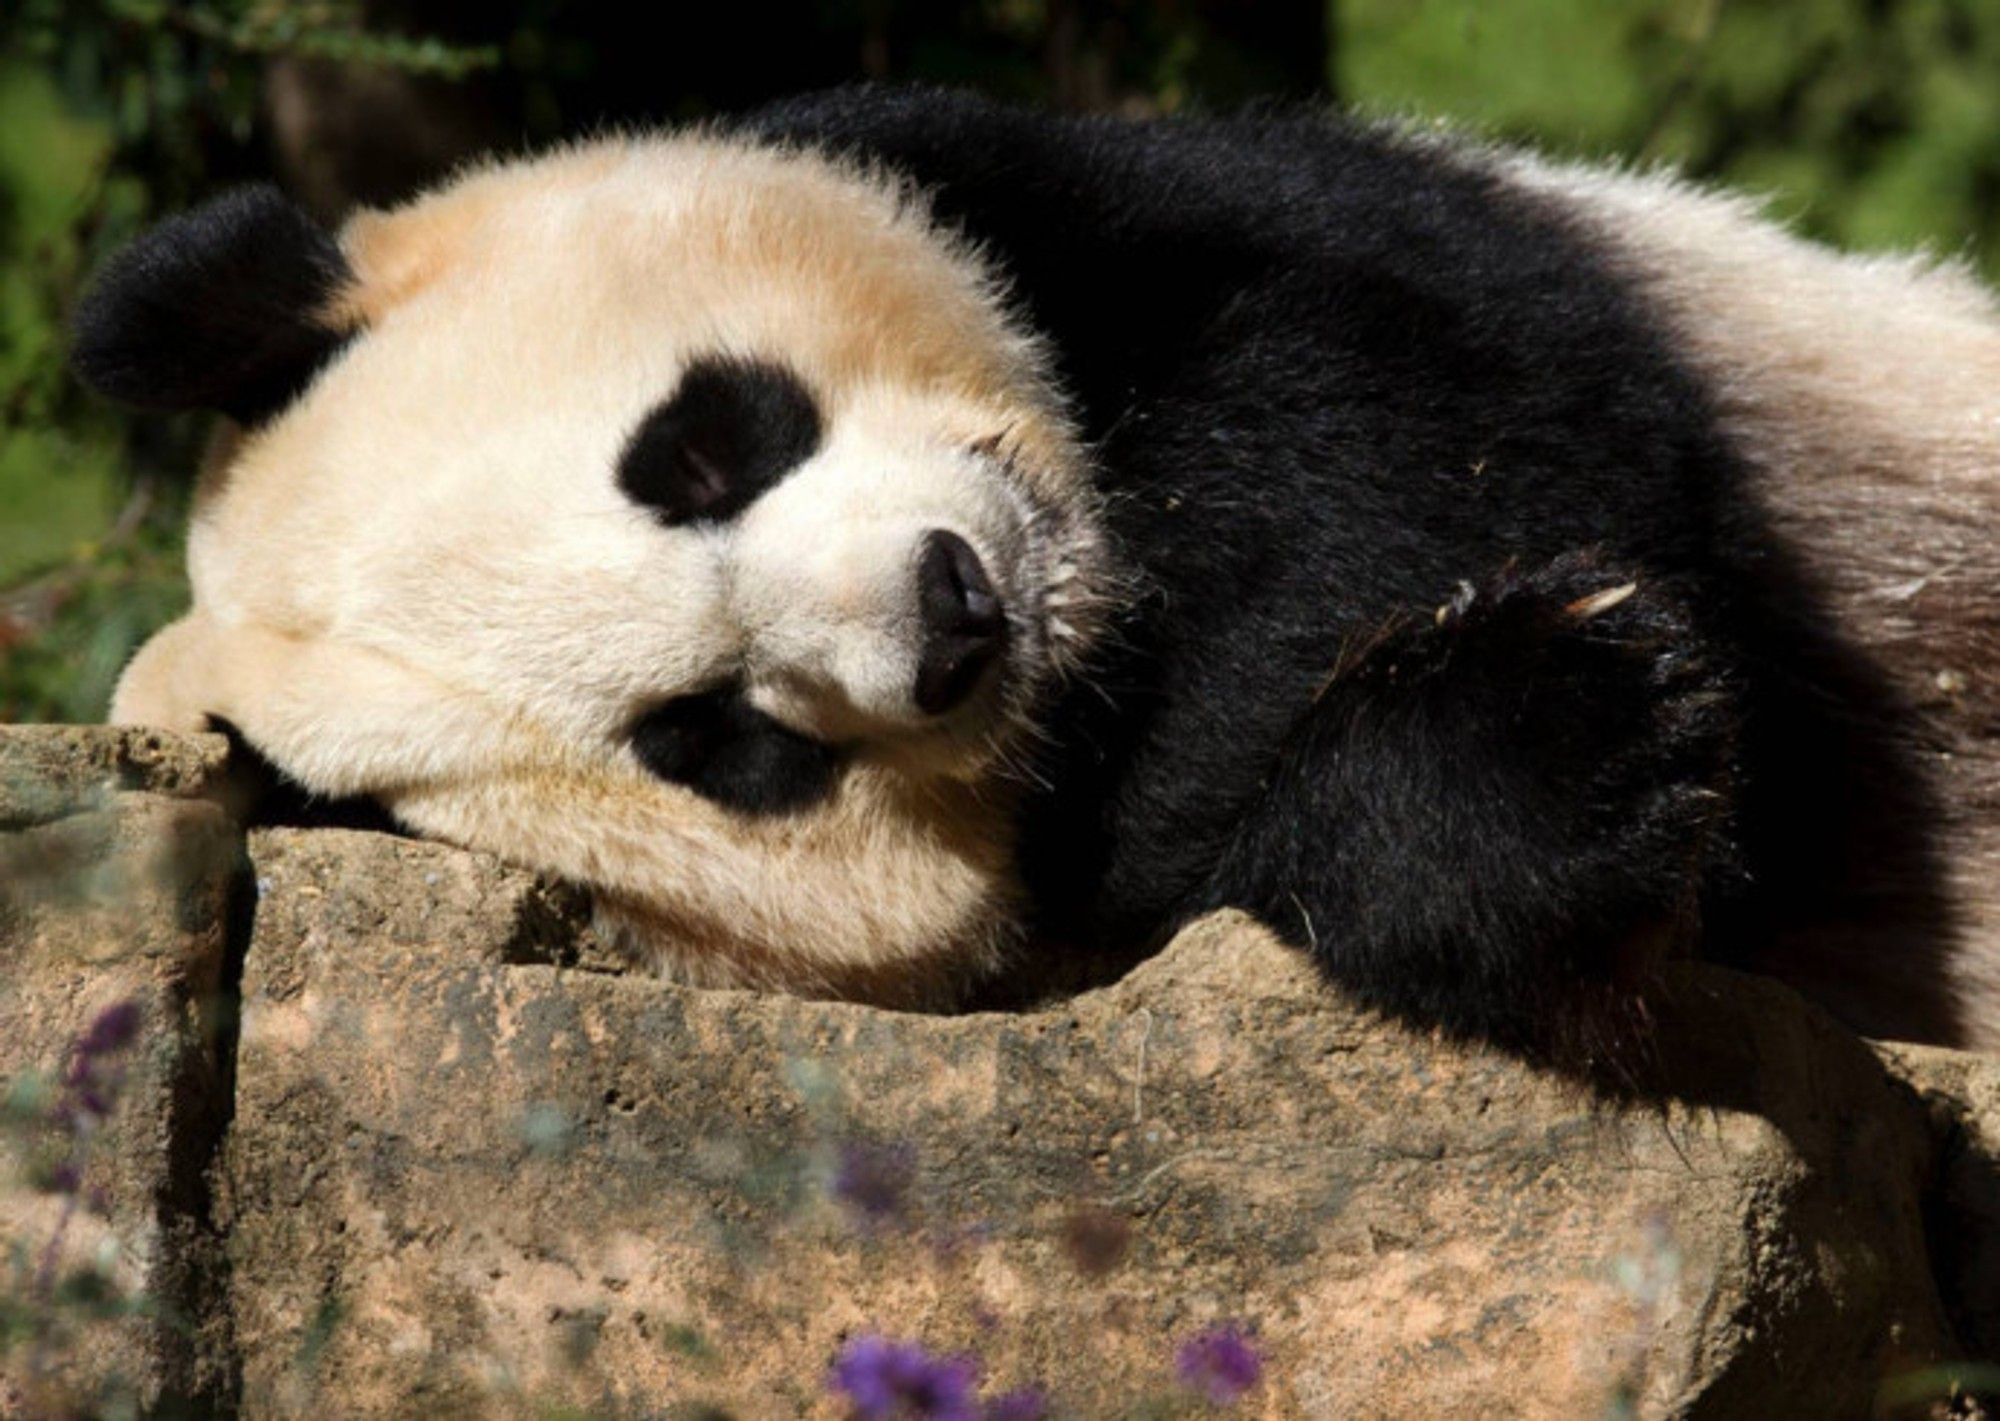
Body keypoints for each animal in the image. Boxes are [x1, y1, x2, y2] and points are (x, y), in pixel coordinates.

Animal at [69, 86, 2000, 1055]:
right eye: (718, 741)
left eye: (704, 446)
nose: (953, 614)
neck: (1116, 612)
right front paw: (1560, 734)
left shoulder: (1099, 187)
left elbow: (1434, 387)